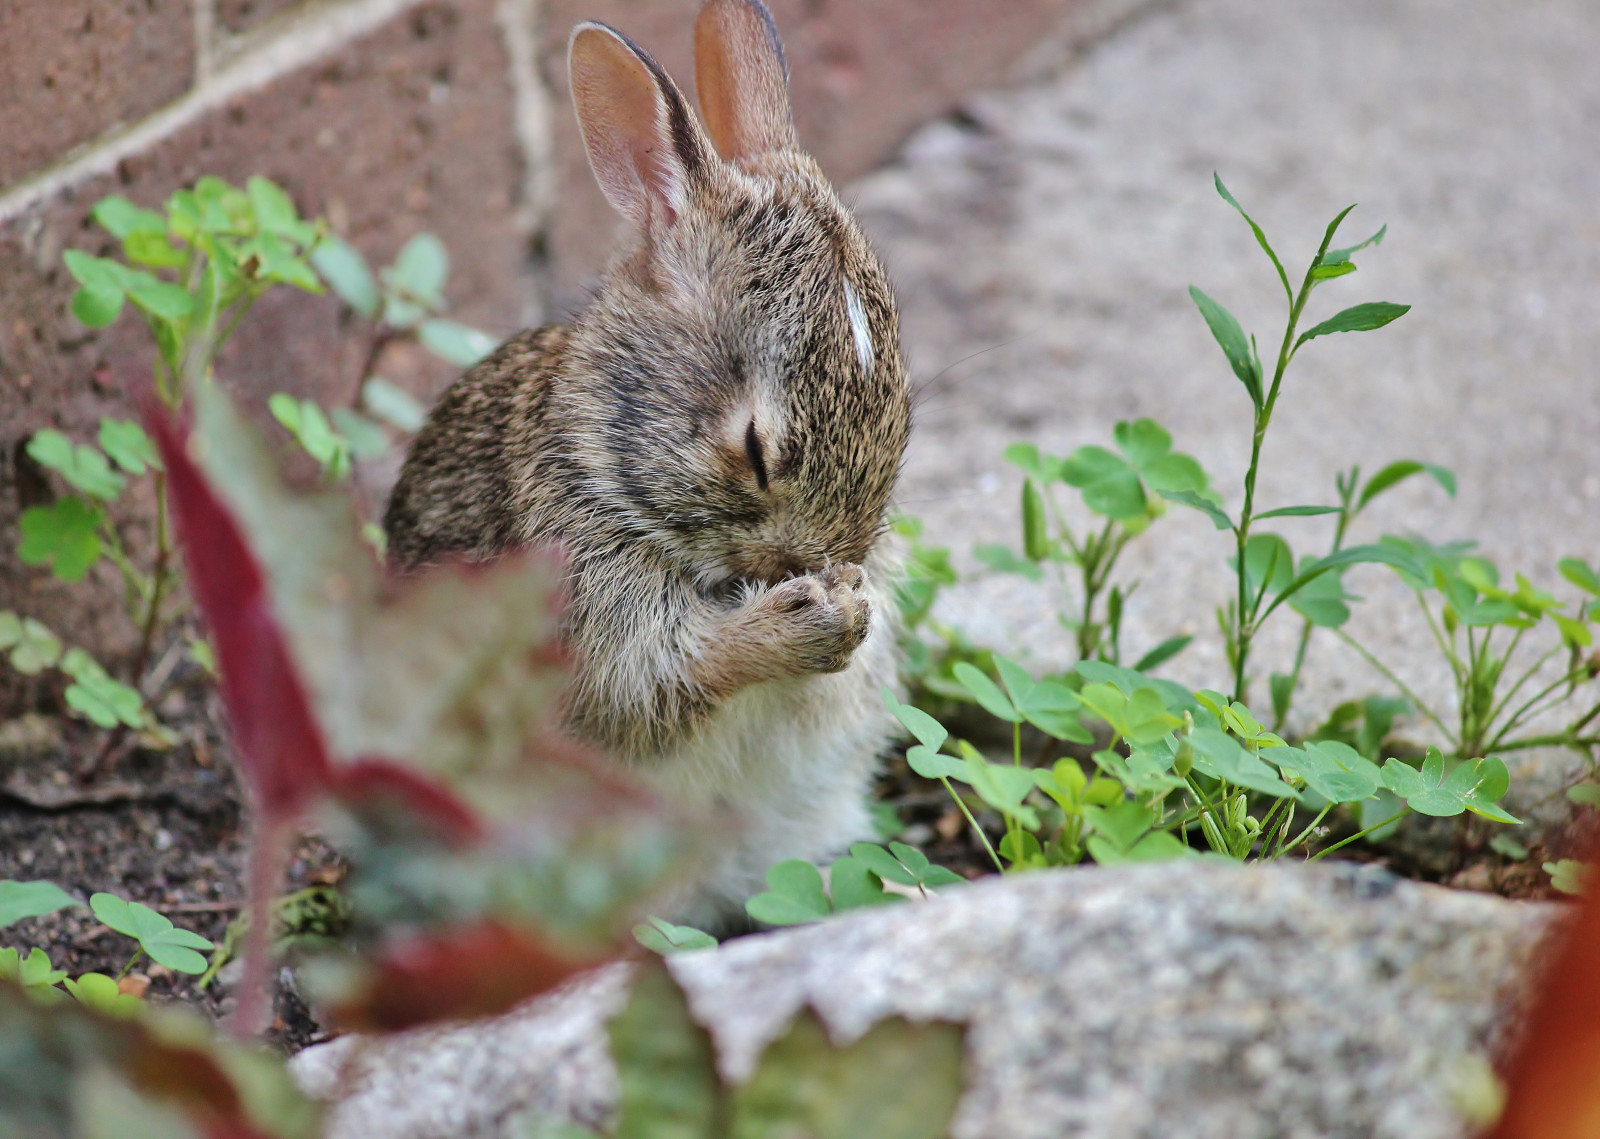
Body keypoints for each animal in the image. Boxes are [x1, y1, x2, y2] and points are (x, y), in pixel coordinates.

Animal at [382, 0, 911, 931]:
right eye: (754, 450)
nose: (833, 559)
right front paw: (809, 618)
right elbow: (656, 683)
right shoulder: (581, 605)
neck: (608, 458)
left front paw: (851, 607)